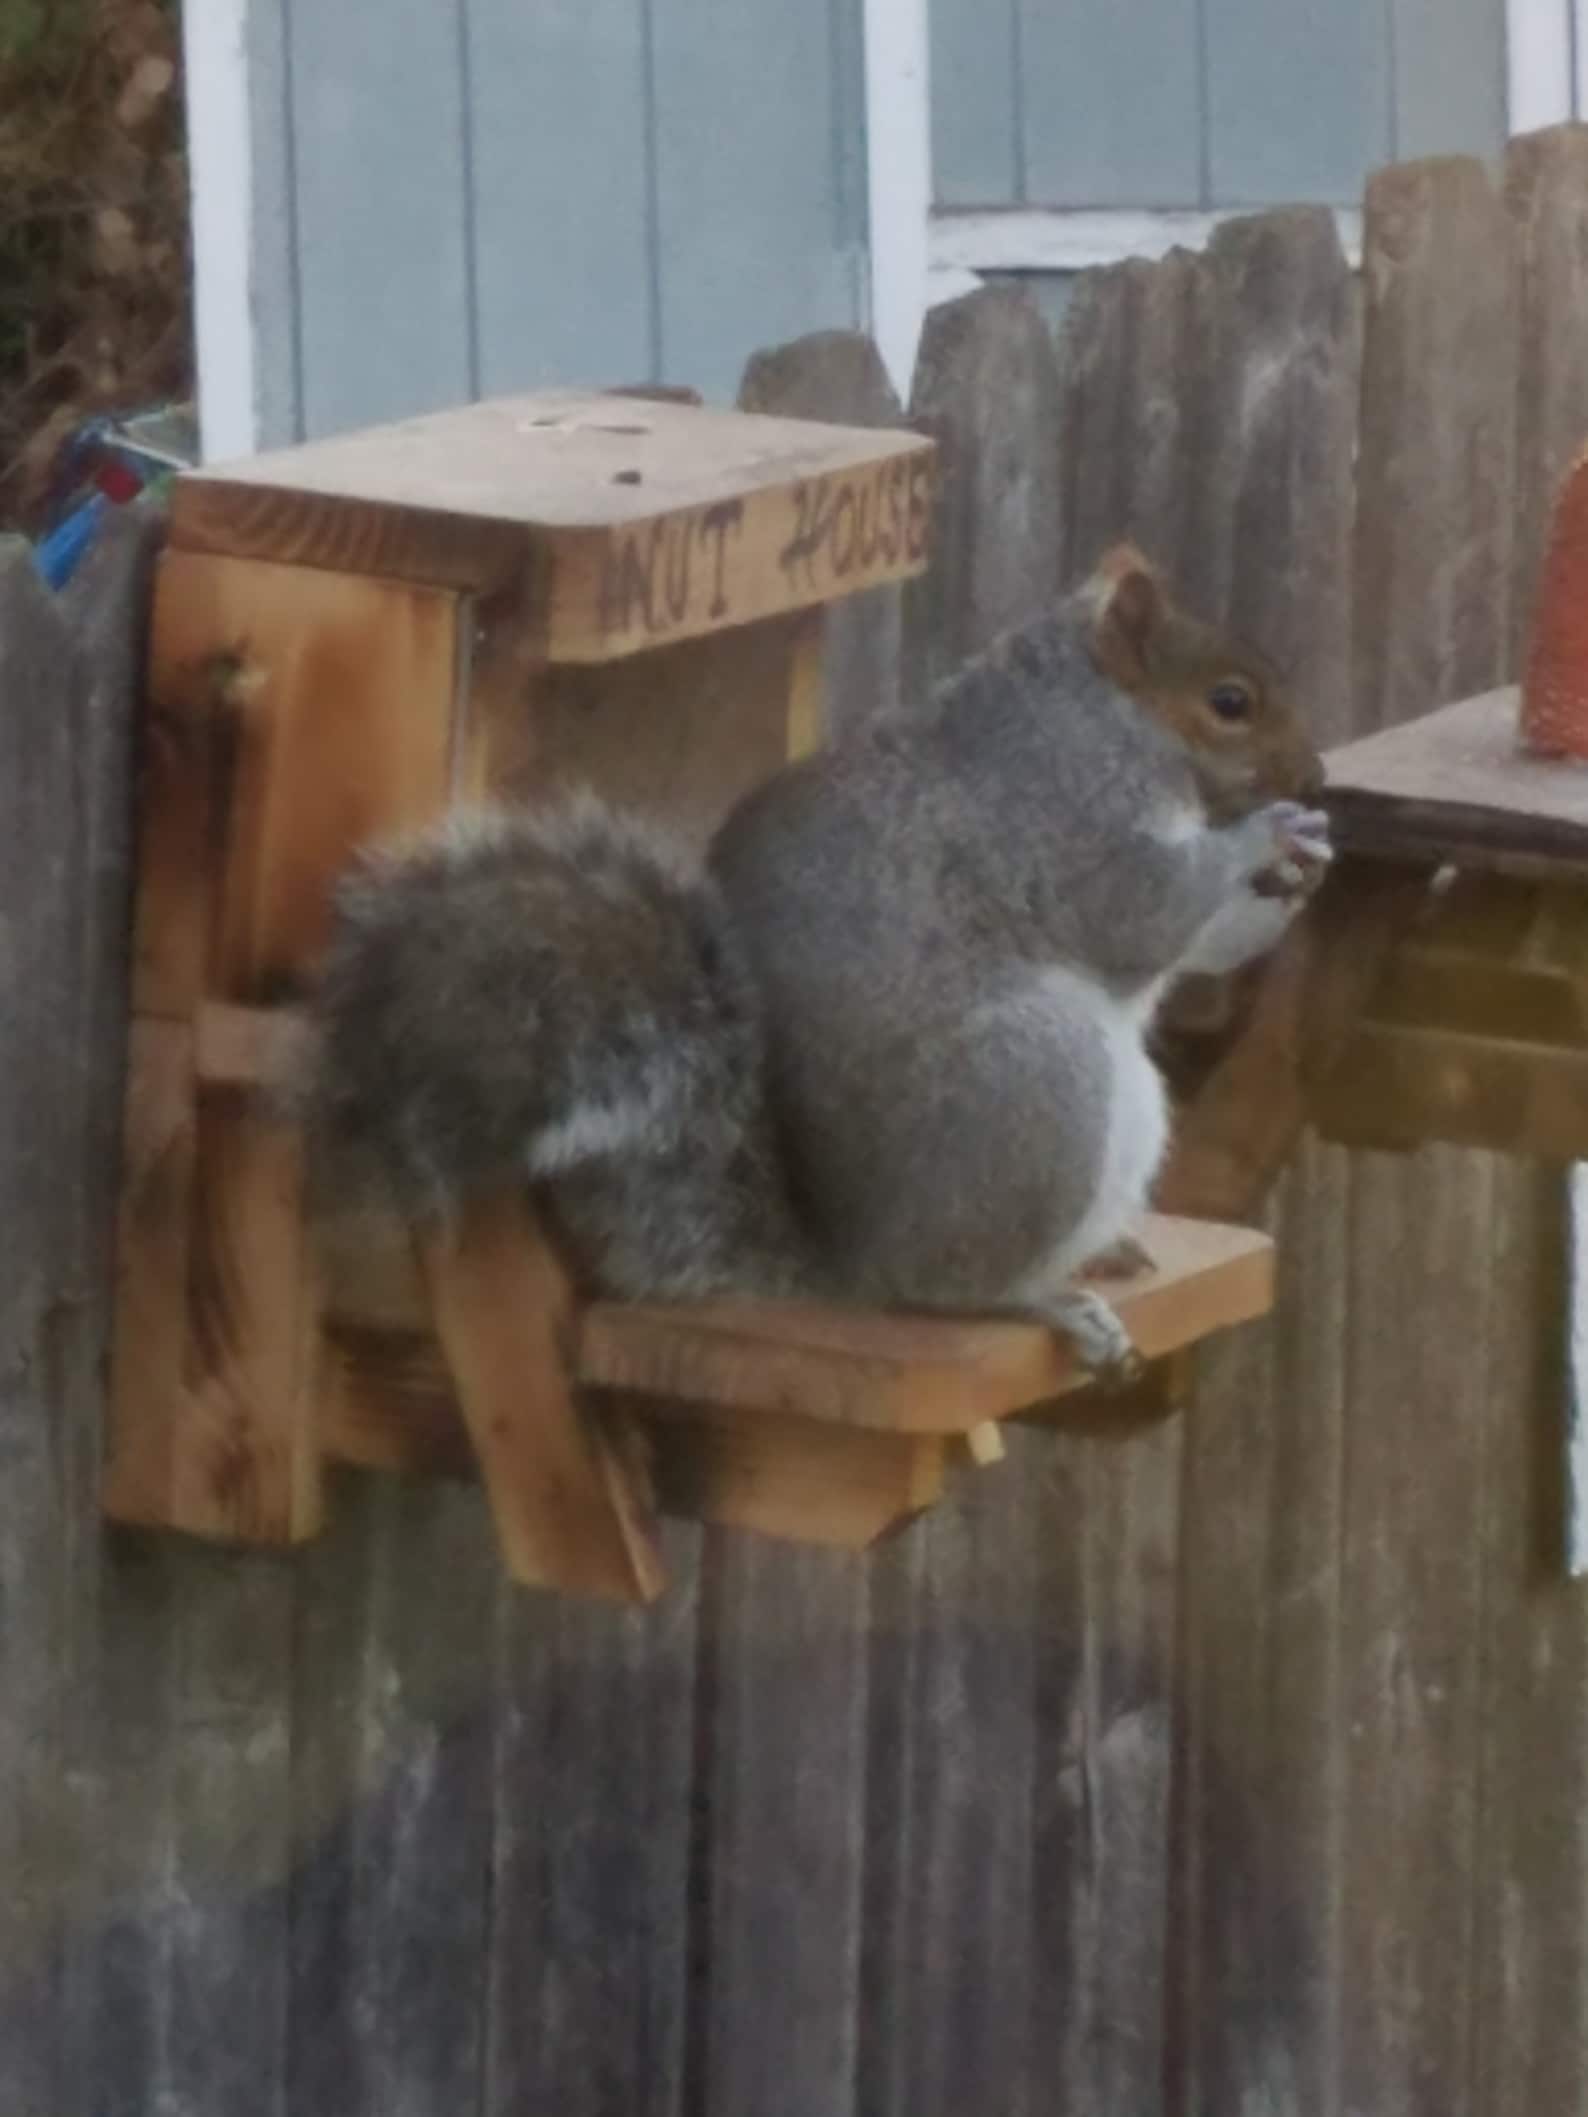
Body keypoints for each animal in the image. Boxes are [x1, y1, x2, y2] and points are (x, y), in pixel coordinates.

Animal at [301, 545, 1328, 1383]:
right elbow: (1143, 908)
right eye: (1229, 703)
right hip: (1033, 1078)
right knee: (940, 1287)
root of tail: (845, 1264)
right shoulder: (1065, 818)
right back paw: (1039, 1295)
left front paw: (1302, 870)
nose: (1314, 778)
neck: (1092, 709)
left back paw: (1100, 1252)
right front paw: (1265, 839)